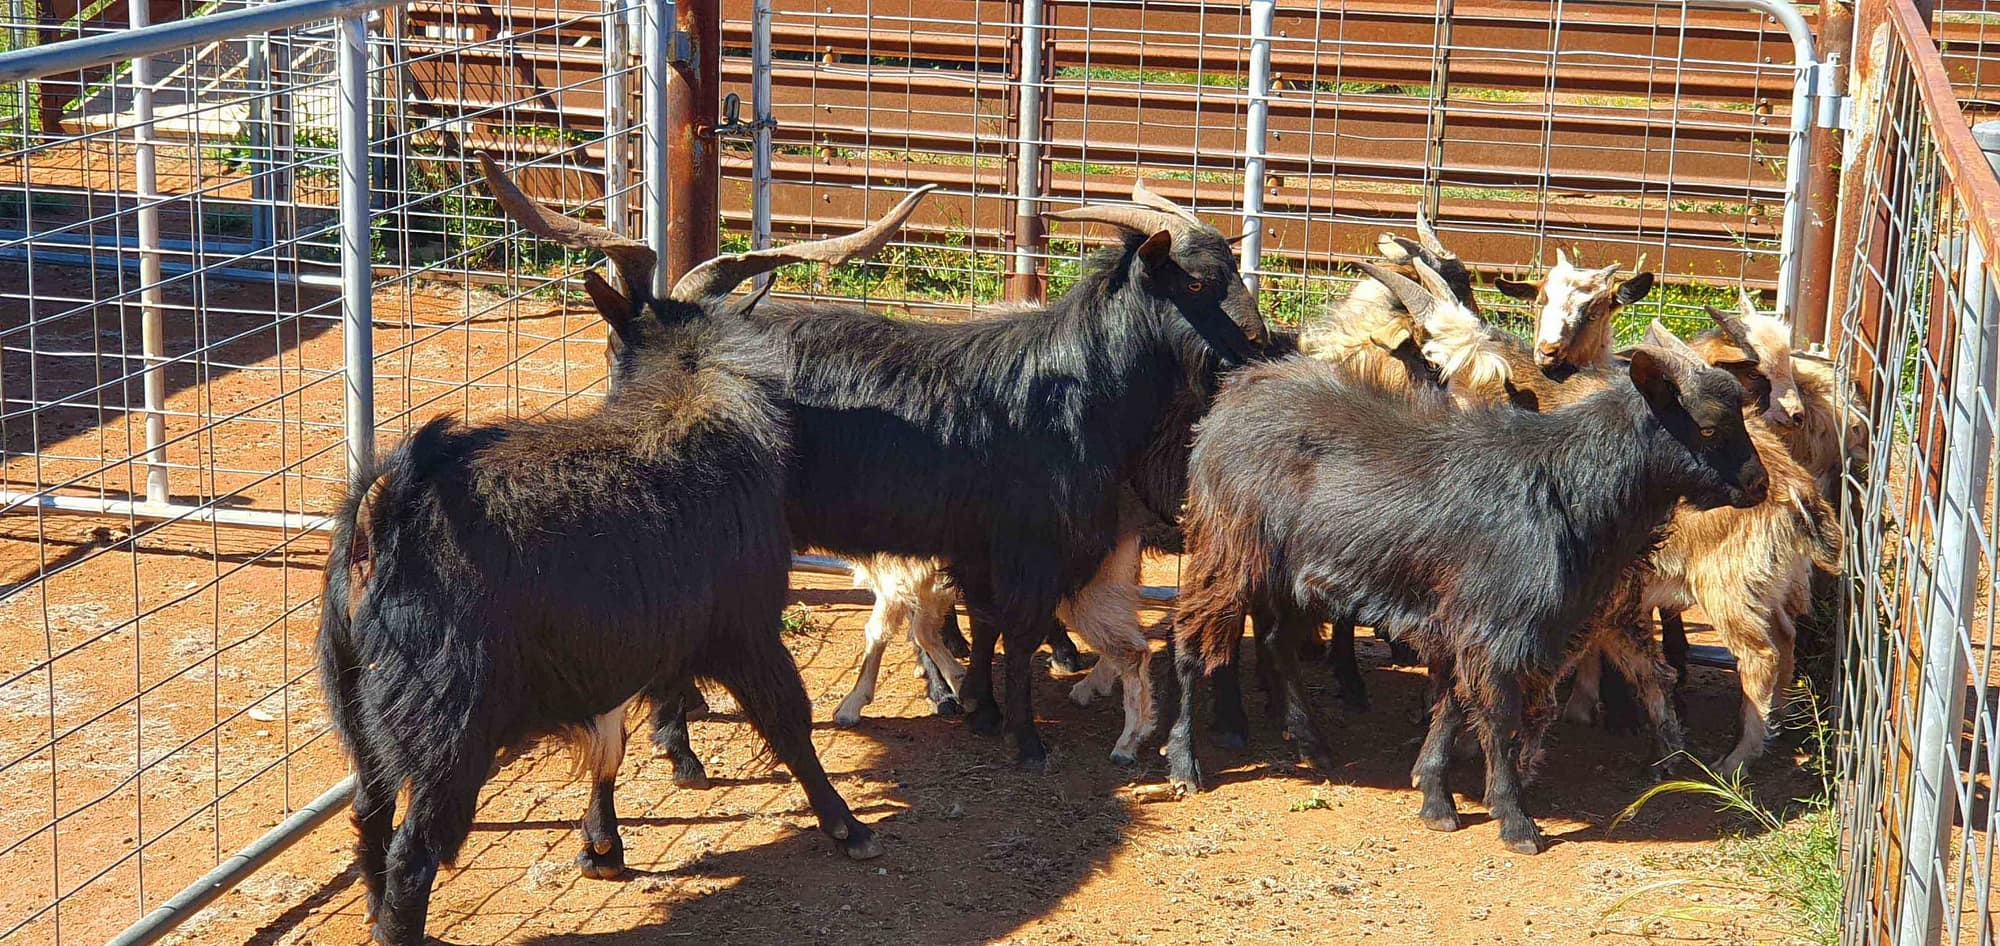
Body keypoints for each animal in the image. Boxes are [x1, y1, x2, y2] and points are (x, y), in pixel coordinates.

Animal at [316, 156, 928, 945]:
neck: (687, 398)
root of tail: (384, 512)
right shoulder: (744, 628)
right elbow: (789, 723)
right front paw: (849, 827)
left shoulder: (622, 650)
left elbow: (612, 744)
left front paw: (602, 847)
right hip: (450, 729)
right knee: (413, 852)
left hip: (358, 712)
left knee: (367, 812)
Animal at [1165, 294, 1766, 853]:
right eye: (1708, 428)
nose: (1758, 485)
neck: (1572, 482)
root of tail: (1231, 400)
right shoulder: (1495, 625)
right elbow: (1496, 719)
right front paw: (1515, 819)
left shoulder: (1465, 622)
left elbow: (1453, 706)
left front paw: (1435, 795)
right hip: (1227, 550)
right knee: (1192, 643)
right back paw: (1184, 764)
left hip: (1294, 576)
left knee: (1275, 644)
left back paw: (1312, 744)